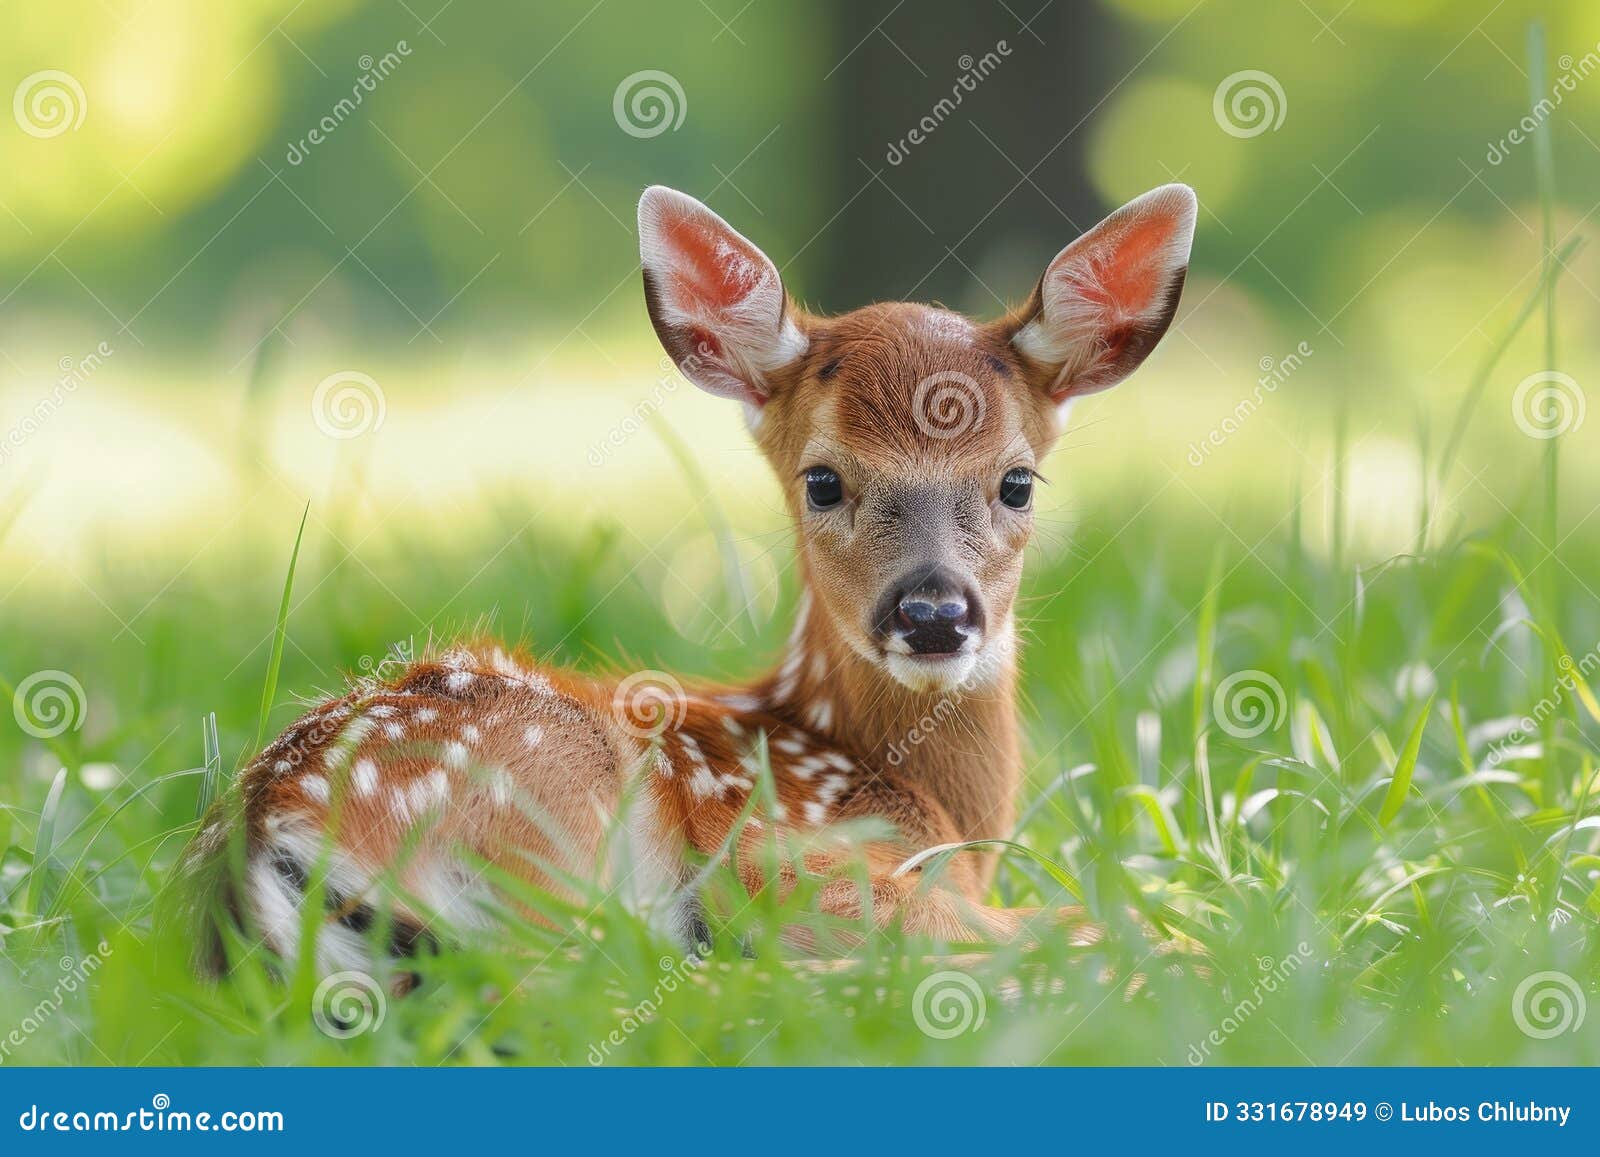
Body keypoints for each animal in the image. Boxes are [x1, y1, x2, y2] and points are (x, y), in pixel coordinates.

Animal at [181, 181, 1197, 982]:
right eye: (822, 479)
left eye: (1017, 480)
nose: (935, 613)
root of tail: (264, 845)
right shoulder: (777, 846)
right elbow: (1076, 920)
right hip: (557, 823)